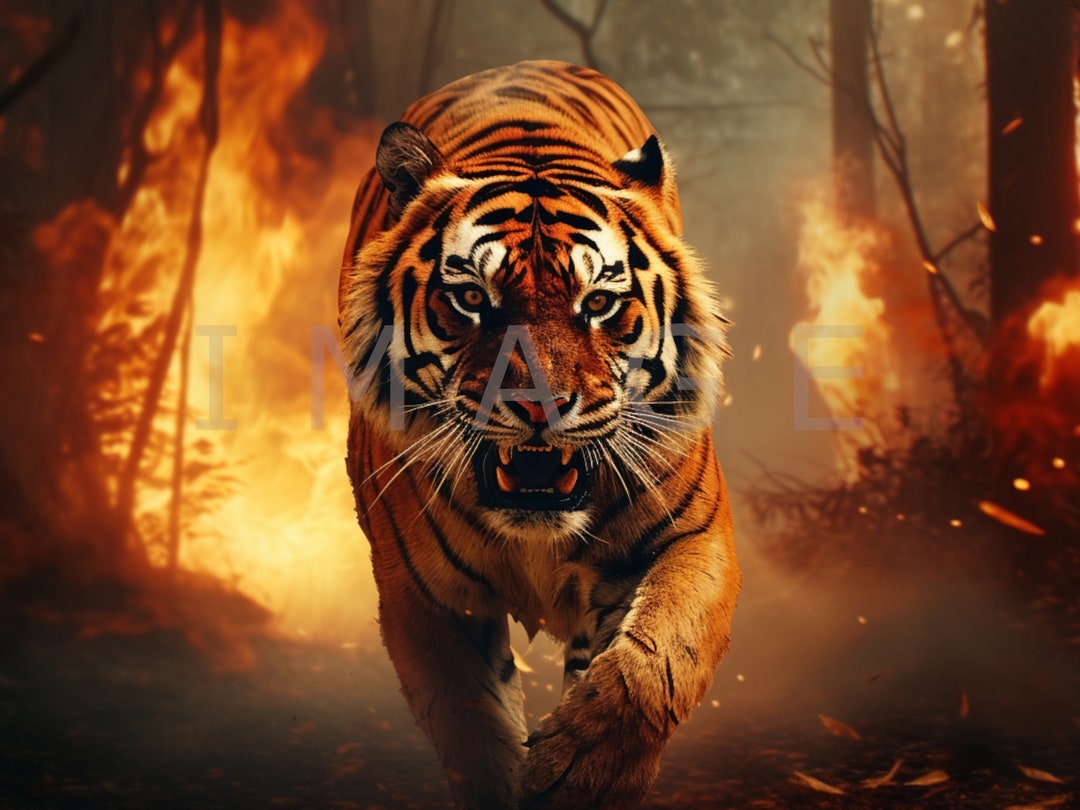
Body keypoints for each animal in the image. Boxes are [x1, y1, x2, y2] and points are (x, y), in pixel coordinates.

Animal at [337, 60, 740, 810]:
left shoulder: (694, 539)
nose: (539, 404)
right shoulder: (425, 597)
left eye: (599, 303)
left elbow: (650, 671)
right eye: (471, 298)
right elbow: (473, 731)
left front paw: (579, 775)